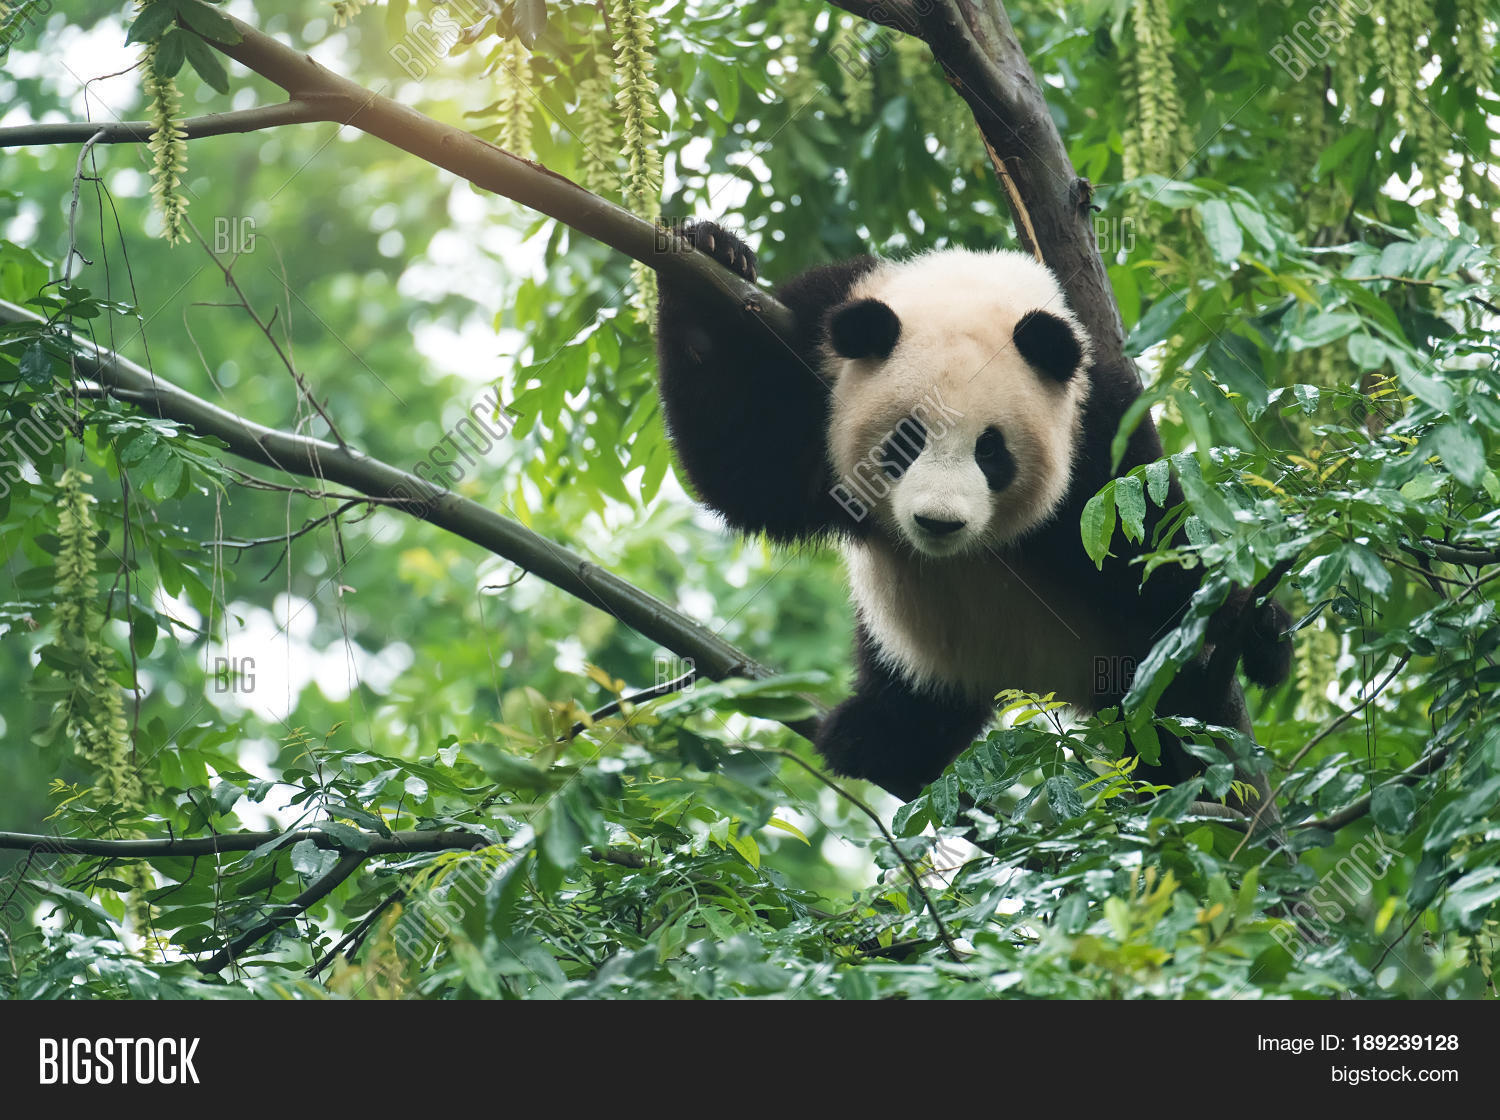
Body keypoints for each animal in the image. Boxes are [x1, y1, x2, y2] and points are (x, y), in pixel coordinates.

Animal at [655, 220, 1291, 801]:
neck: (972, 291)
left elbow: (1151, 551)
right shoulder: (818, 355)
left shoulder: (1099, 430)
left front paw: (1251, 624)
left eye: (991, 450)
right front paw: (711, 249)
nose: (939, 523)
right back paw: (877, 742)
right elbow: (748, 466)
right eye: (907, 440)